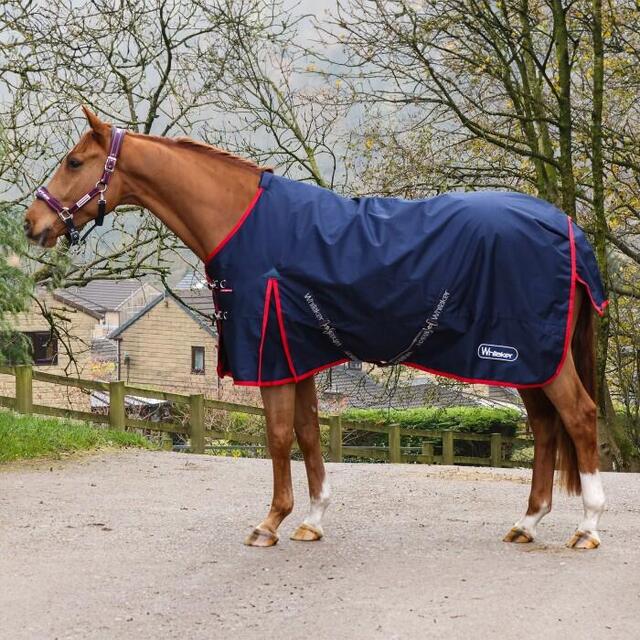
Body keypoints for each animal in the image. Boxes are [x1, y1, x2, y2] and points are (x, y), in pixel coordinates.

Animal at [24, 107, 607, 550]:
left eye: (74, 161)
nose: (33, 224)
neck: (244, 222)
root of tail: (566, 228)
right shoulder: (297, 352)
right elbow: (307, 433)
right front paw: (312, 518)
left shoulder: (272, 355)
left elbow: (279, 436)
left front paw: (270, 523)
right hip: (527, 360)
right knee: (546, 427)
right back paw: (527, 523)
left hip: (528, 354)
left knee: (579, 418)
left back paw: (588, 527)